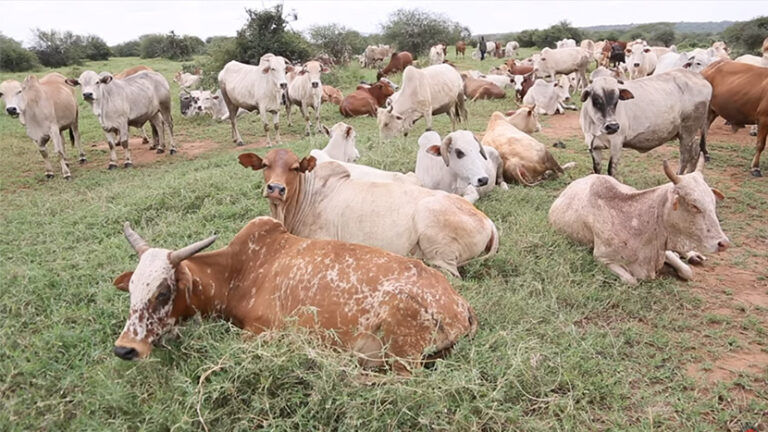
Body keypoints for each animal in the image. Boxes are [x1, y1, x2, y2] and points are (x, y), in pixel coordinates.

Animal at [112, 218, 477, 373]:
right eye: (131, 289)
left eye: (163, 292)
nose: (125, 349)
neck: (239, 271)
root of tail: (461, 305)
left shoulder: (259, 333)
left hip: (401, 349)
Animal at [548, 158, 729, 285]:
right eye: (694, 205)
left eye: (713, 201)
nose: (723, 243)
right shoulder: (602, 258)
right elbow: (632, 281)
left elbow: (687, 271)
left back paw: (694, 255)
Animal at [579, 70, 712, 177]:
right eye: (596, 100)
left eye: (616, 100)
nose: (613, 126)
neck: (597, 126)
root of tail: (700, 77)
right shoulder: (593, 146)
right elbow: (597, 169)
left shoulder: (617, 144)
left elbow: (611, 170)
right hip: (690, 134)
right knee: (695, 152)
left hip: (687, 132)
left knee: (685, 157)